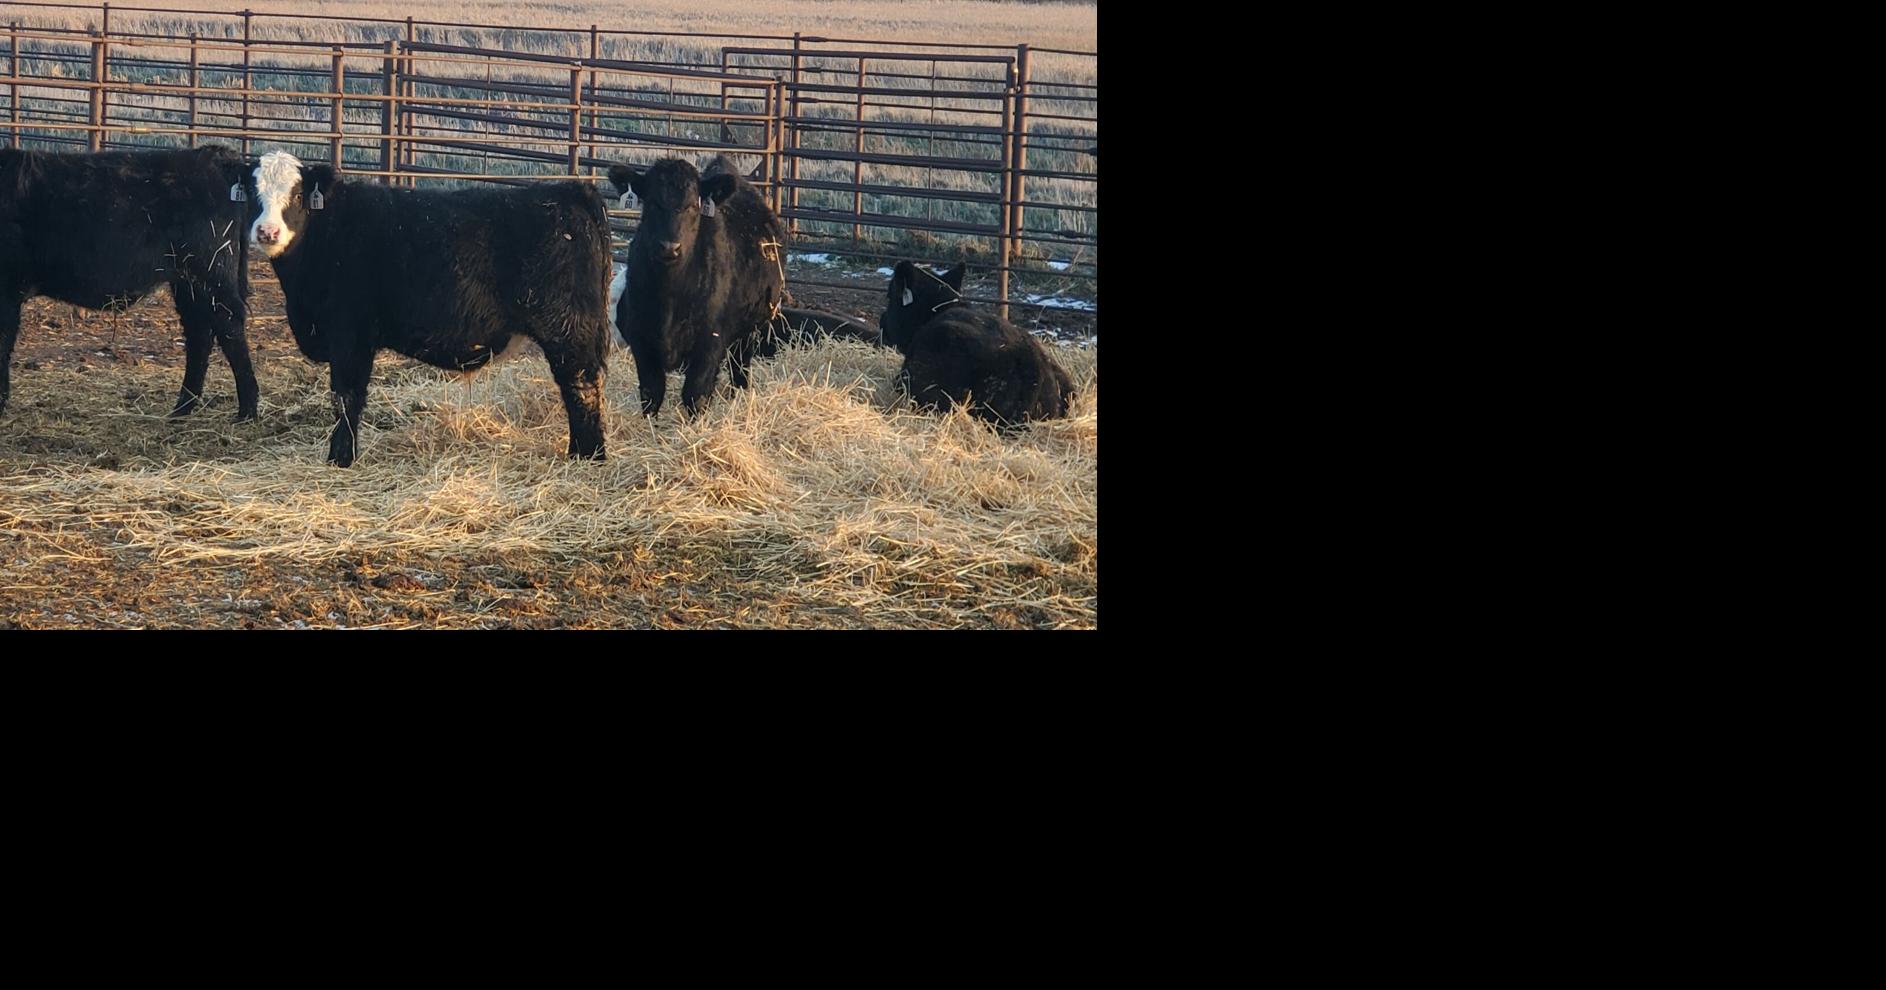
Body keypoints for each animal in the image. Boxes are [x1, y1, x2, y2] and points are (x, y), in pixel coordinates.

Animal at [1, 144, 258, 421]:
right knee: (199, 333)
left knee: (228, 327)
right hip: (187, 282)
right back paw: (181, 410)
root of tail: (214, 155)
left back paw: (246, 411)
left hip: (210, 274)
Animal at [245, 151, 613, 467]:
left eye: (296, 196)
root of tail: (569, 190)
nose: (267, 231)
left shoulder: (350, 335)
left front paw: (340, 459)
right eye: (252, 194)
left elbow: (347, 397)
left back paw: (587, 456)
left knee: (581, 386)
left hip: (567, 328)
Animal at [607, 155, 785, 417]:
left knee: (739, 370)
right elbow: (651, 394)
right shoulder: (642, 341)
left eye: (692, 206)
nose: (670, 247)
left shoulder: (710, 343)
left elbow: (696, 395)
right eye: (651, 203)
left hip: (748, 332)